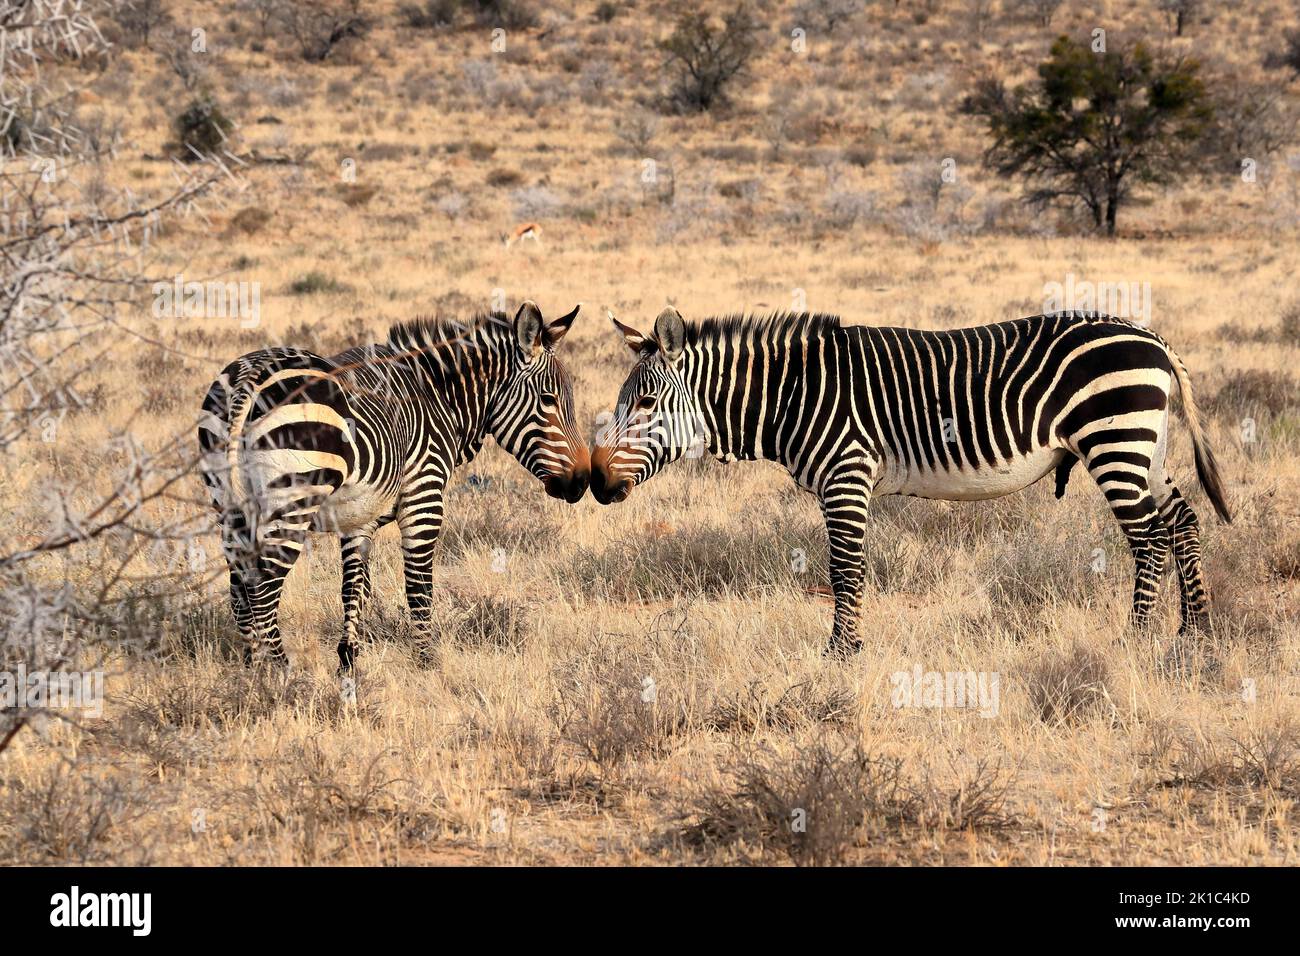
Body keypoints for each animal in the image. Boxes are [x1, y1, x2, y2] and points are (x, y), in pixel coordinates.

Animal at [198, 302, 589, 668]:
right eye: (549, 401)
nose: (583, 480)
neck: (438, 396)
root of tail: (252, 374)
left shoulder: (359, 517)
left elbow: (354, 588)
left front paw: (349, 661)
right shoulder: (424, 497)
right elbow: (419, 587)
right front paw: (426, 663)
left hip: (227, 502)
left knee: (239, 590)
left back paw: (254, 672)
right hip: (293, 498)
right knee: (262, 590)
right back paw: (285, 675)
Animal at [590, 307, 1231, 655]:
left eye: (645, 402)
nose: (595, 482)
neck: (791, 395)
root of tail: (1152, 337)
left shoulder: (847, 475)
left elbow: (845, 569)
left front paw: (840, 653)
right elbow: (848, 569)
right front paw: (847, 648)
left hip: (1115, 442)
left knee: (1149, 539)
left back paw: (1136, 638)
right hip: (1147, 448)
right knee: (1182, 520)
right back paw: (1193, 632)